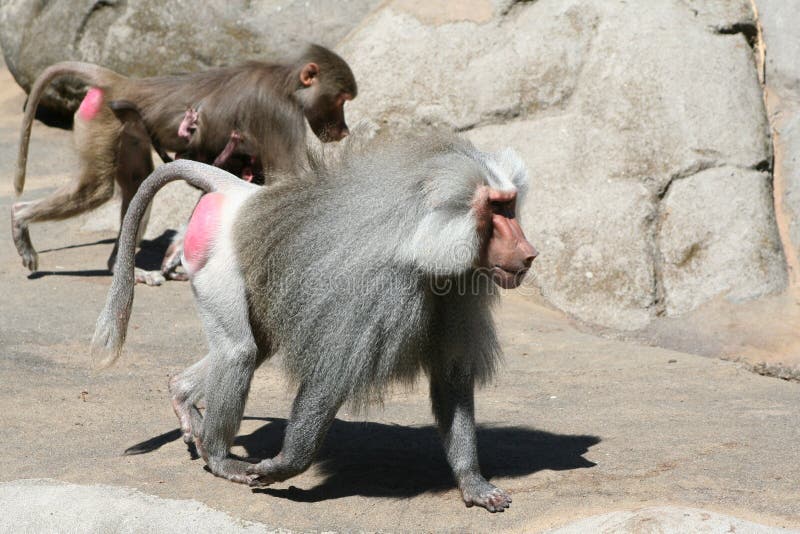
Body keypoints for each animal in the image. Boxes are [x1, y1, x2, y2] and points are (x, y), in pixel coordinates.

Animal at [12, 44, 357, 281]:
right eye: (341, 100)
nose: (344, 130)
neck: (286, 82)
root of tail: (124, 84)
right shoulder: (278, 115)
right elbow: (288, 179)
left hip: (128, 132)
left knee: (138, 184)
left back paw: (122, 268)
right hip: (100, 120)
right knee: (96, 190)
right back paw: (19, 221)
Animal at [91, 133, 537, 512]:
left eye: (510, 205)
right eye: (495, 209)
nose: (530, 253)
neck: (420, 237)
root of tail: (239, 193)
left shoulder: (456, 285)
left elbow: (451, 377)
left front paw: (473, 483)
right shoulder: (377, 289)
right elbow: (330, 374)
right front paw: (285, 466)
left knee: (249, 350)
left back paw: (183, 397)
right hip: (213, 266)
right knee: (239, 353)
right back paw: (219, 459)